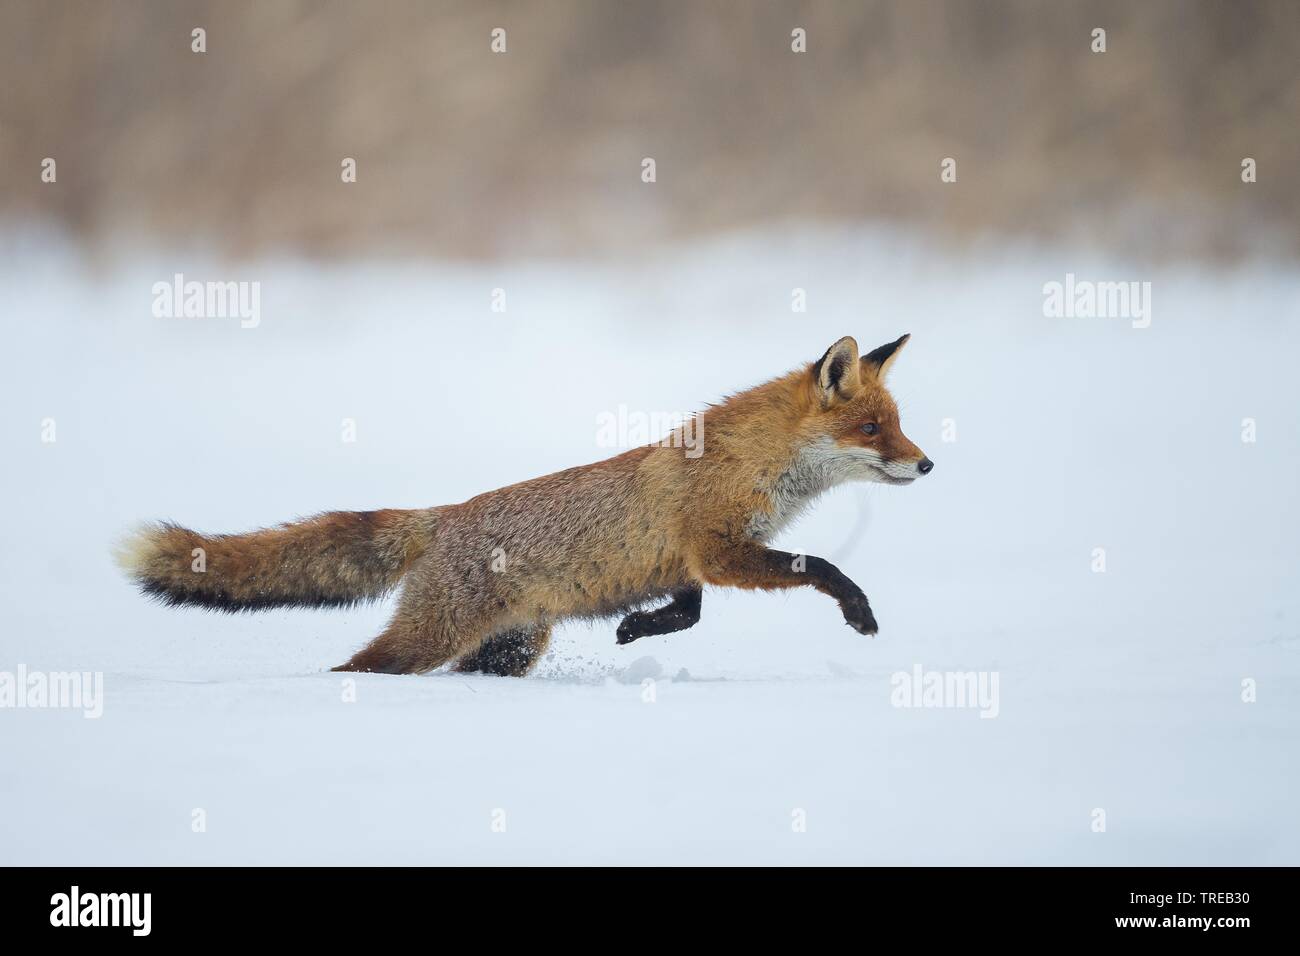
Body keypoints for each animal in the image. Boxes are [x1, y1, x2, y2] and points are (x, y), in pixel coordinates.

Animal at [117, 334, 933, 676]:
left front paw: (635, 628)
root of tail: (442, 515)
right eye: (872, 430)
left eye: (896, 423)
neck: (756, 463)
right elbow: (821, 566)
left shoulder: (690, 566)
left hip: (507, 650)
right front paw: (859, 611)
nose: (927, 463)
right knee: (358, 667)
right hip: (429, 640)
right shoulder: (722, 549)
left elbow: (687, 612)